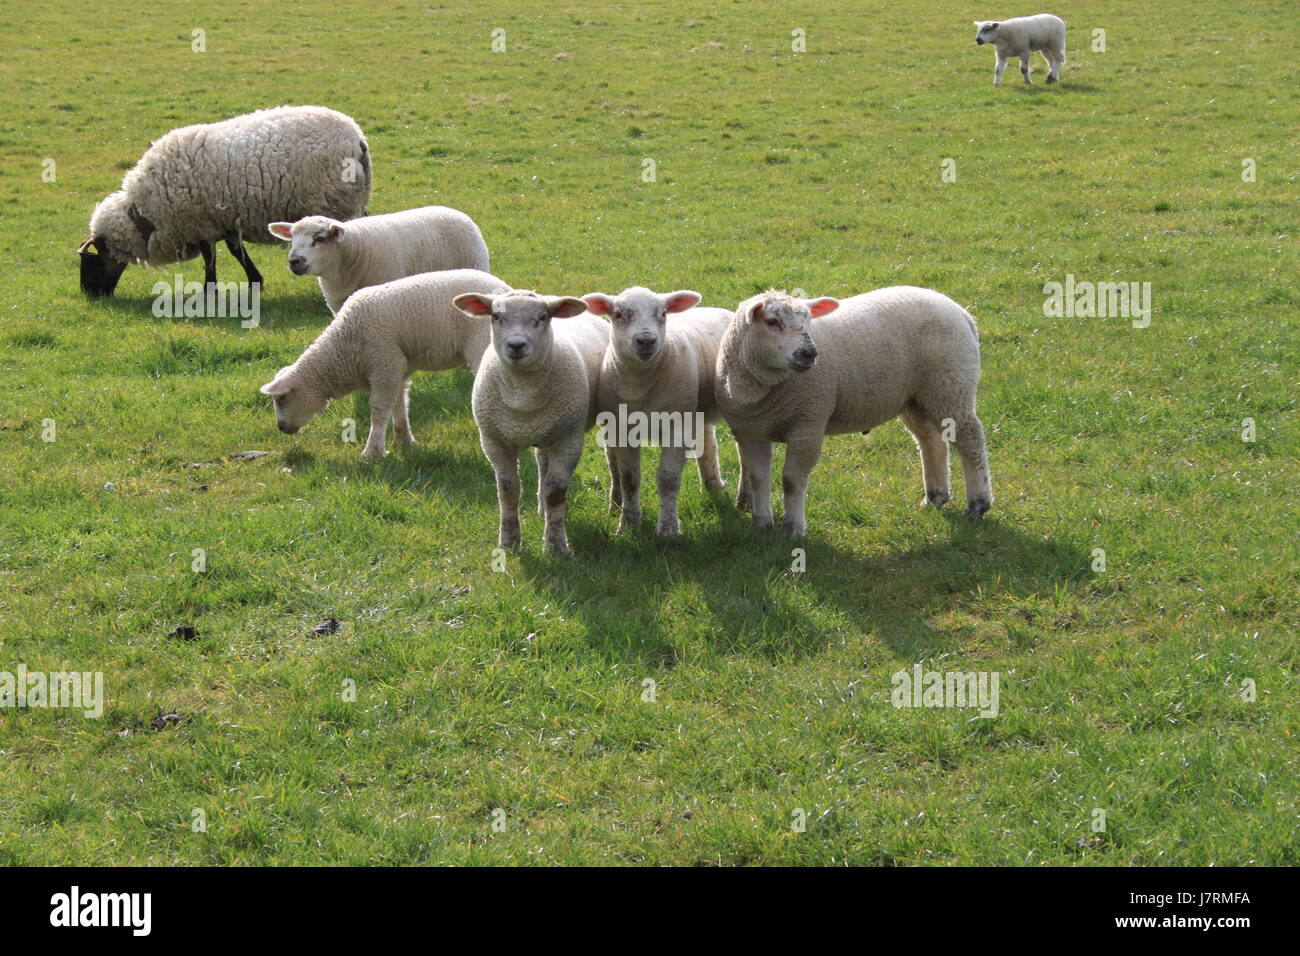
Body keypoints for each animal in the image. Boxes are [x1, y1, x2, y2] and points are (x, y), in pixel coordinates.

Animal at [80, 106, 371, 298]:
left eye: (91, 259)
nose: (89, 294)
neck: (145, 216)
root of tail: (357, 137)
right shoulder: (224, 219)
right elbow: (236, 252)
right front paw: (255, 281)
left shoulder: (200, 223)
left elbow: (210, 258)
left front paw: (209, 290)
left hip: (335, 200)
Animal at [259, 269, 509, 461]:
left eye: (281, 399)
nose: (281, 428)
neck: (342, 350)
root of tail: (505, 290)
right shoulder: (398, 367)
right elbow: (399, 403)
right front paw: (404, 440)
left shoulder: (384, 362)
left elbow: (379, 410)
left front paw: (372, 452)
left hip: (482, 346)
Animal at [452, 290, 613, 556]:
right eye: (495, 316)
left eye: (543, 317)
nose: (516, 345)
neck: (523, 397)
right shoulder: (494, 440)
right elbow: (507, 490)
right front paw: (508, 541)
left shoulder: (569, 440)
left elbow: (556, 491)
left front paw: (556, 546)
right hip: (545, 430)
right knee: (542, 464)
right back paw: (542, 509)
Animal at [582, 286, 732, 537]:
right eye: (619, 314)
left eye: (663, 313)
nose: (646, 340)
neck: (639, 386)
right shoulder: (622, 432)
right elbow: (629, 478)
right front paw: (628, 526)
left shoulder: (677, 429)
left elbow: (667, 478)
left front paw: (668, 530)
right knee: (708, 444)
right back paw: (713, 486)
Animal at [715, 286, 992, 538]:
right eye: (772, 322)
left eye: (809, 320)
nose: (810, 353)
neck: (763, 389)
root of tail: (961, 312)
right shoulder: (750, 432)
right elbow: (757, 477)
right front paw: (761, 524)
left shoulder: (808, 423)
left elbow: (792, 481)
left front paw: (793, 529)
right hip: (917, 396)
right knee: (930, 440)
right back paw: (935, 497)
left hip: (950, 383)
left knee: (970, 440)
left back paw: (978, 504)